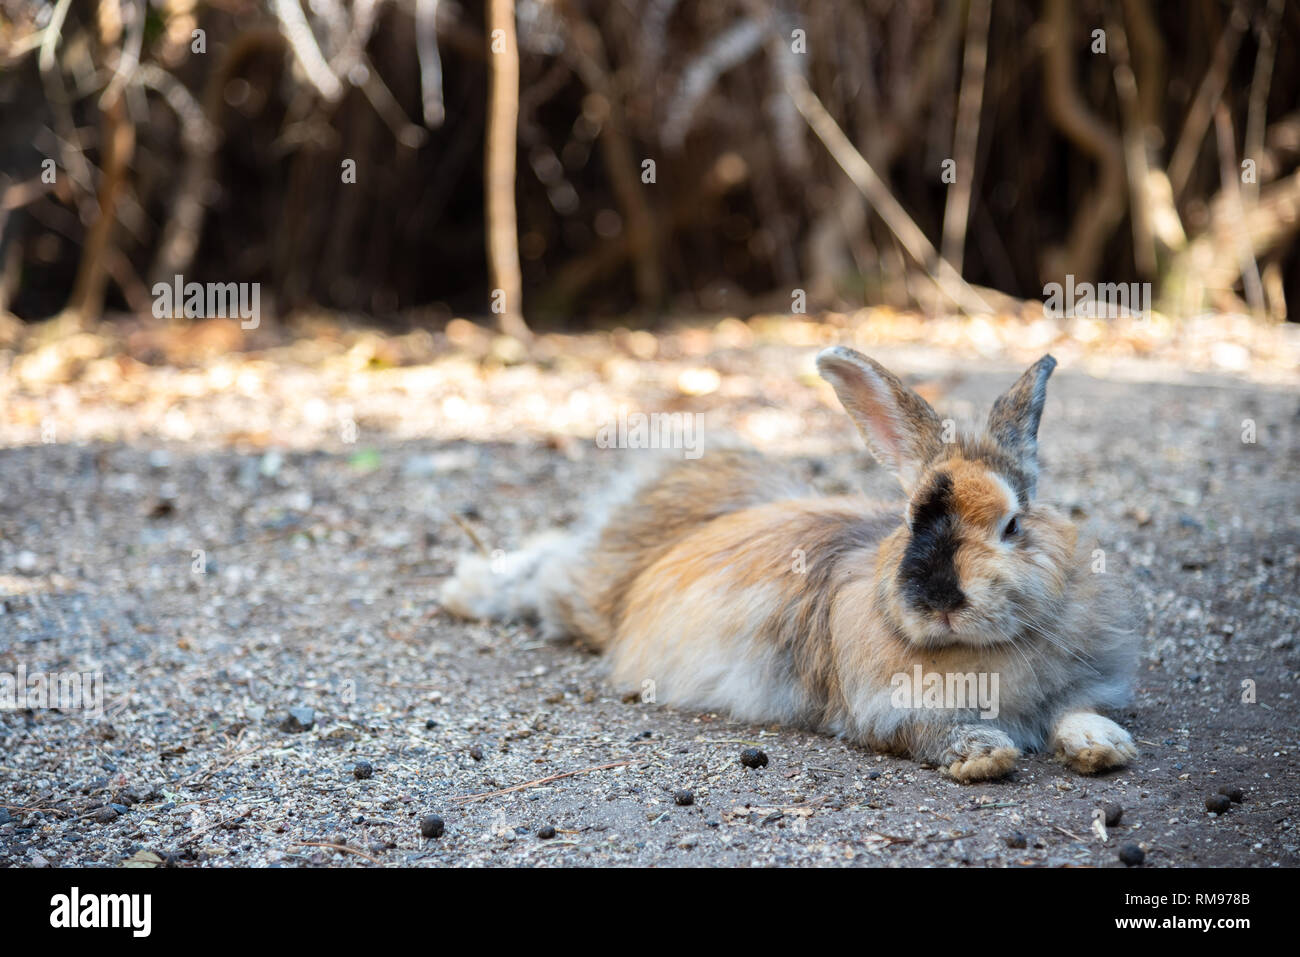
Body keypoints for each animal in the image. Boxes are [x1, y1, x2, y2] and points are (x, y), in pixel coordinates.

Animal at [440, 347, 1139, 782]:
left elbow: (1077, 712)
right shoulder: (882, 712)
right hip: (583, 593)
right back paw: (462, 589)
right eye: (910, 518)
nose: (940, 598)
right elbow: (931, 735)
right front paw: (983, 755)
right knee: (543, 568)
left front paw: (1106, 748)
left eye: (1013, 524)